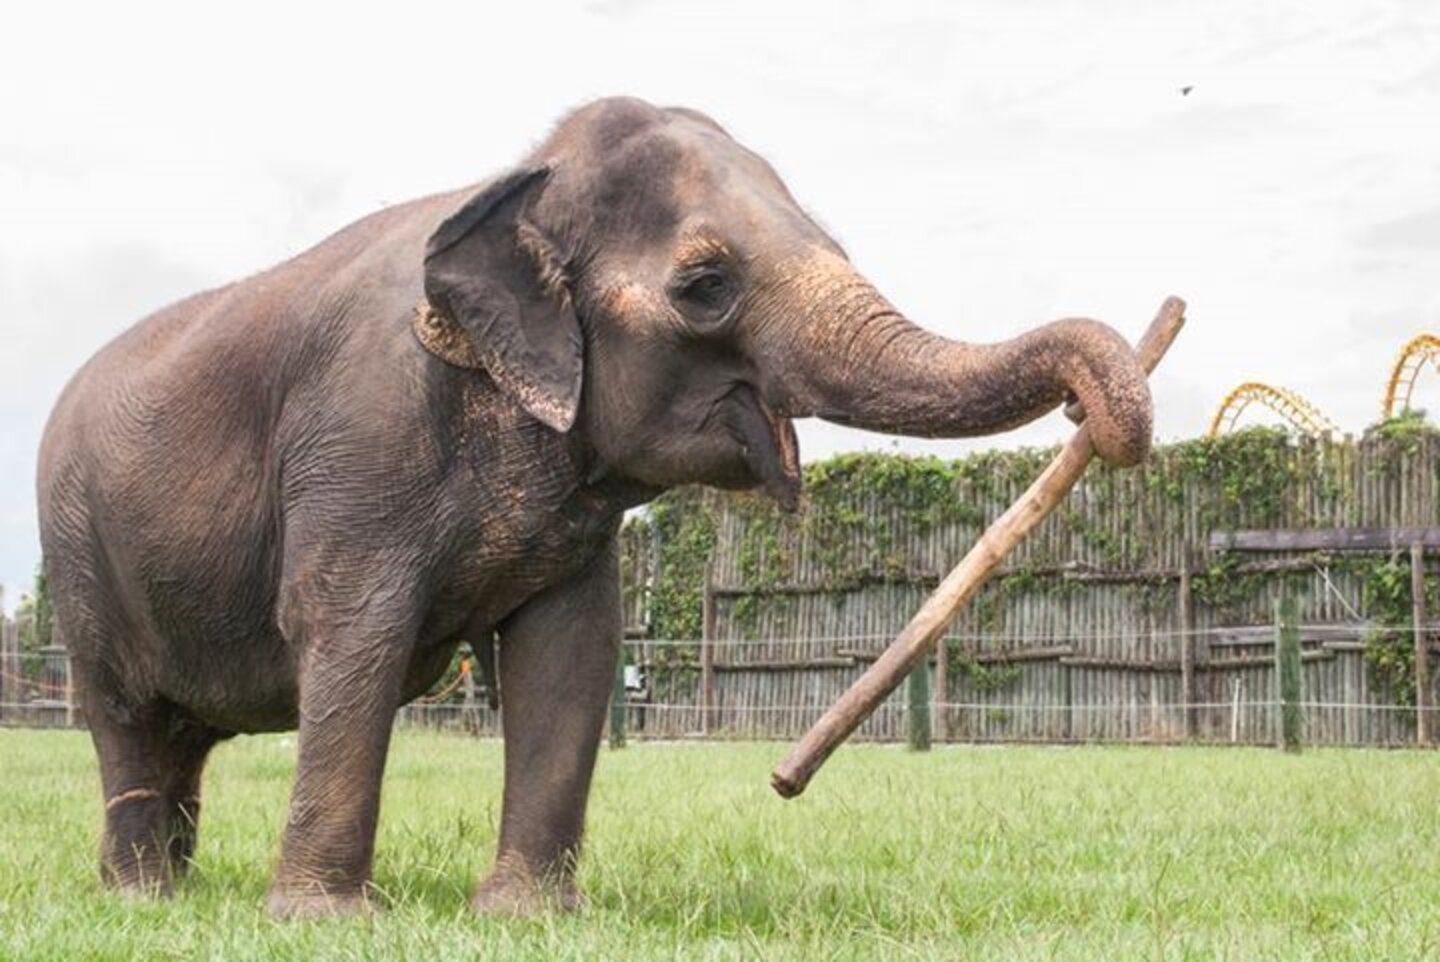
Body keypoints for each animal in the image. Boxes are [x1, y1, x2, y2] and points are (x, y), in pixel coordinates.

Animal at [36, 96, 1153, 918]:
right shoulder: (361, 437)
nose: (1091, 407)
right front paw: (324, 922)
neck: (510, 184)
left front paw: (522, 917)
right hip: (79, 563)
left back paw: (173, 886)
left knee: (178, 737)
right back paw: (143, 899)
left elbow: (572, 650)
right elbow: (353, 631)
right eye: (705, 286)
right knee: (126, 714)